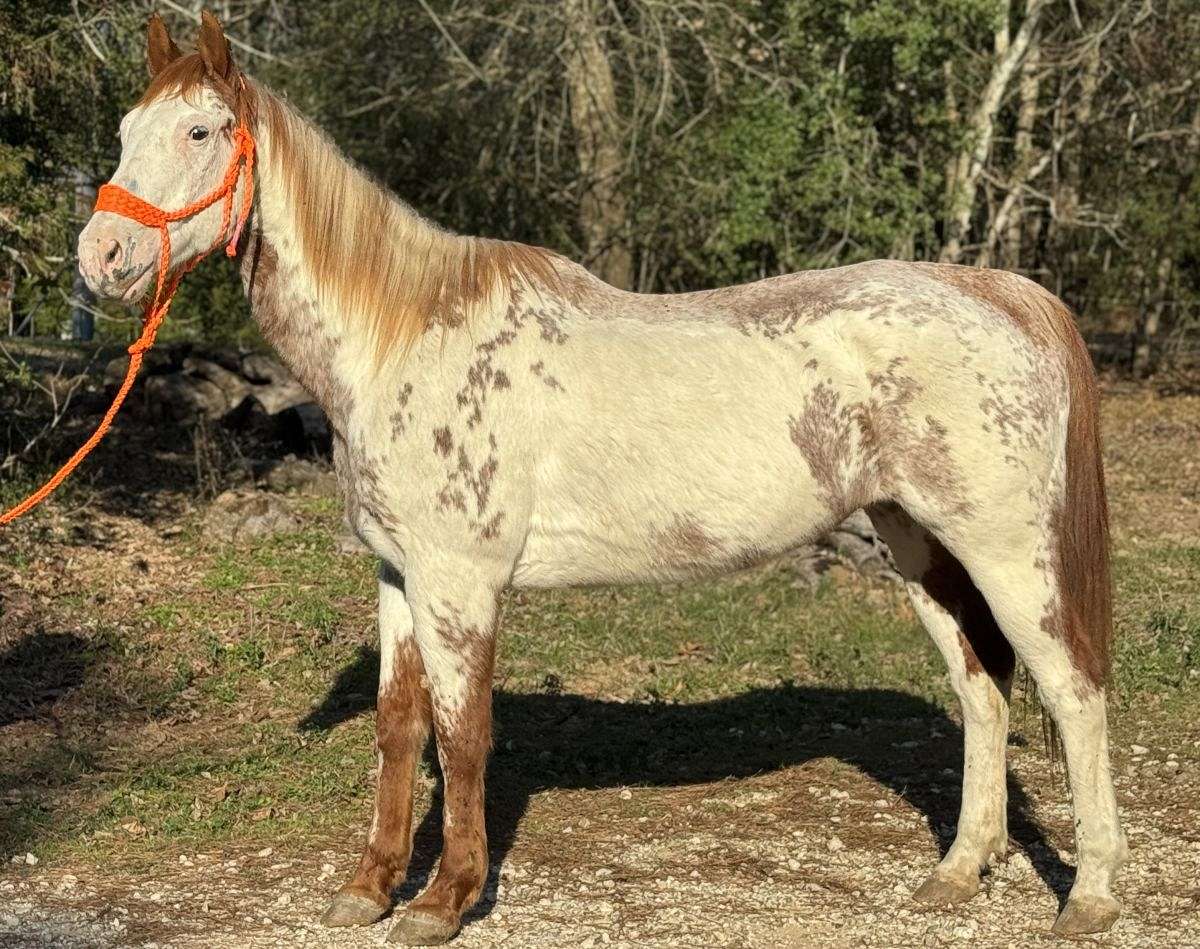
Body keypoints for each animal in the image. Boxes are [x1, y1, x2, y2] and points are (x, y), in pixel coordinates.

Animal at [77, 12, 1125, 945]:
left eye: (200, 131)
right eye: (125, 131)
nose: (100, 258)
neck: (404, 336)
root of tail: (999, 292)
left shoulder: (460, 585)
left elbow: (462, 735)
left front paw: (443, 901)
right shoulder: (398, 576)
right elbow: (398, 728)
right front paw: (367, 889)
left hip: (1005, 550)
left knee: (1071, 691)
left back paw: (1091, 897)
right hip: (916, 544)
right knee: (982, 689)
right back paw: (957, 871)